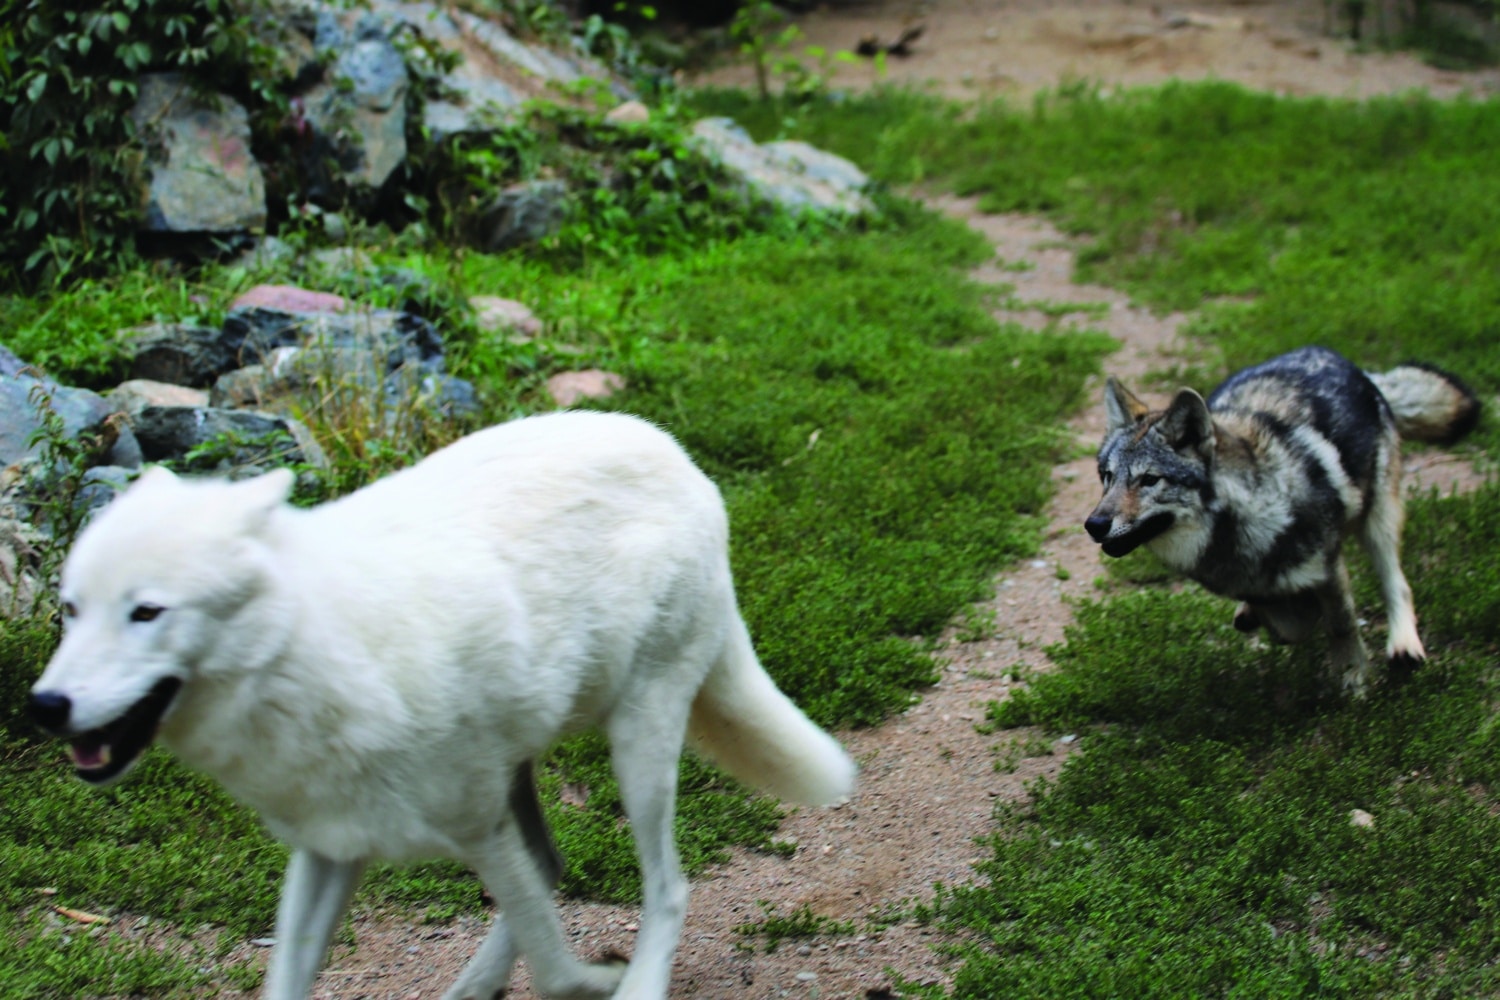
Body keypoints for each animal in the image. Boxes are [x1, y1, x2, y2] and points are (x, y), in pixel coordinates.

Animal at [27, 410, 856, 1000]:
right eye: (71, 610)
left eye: (146, 613)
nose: (46, 704)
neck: (309, 652)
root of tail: (682, 458)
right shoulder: (329, 847)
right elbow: (286, 980)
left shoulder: (476, 824)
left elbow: (555, 973)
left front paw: (597, 979)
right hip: (527, 770)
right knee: (553, 864)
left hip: (638, 748)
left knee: (666, 889)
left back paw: (635, 984)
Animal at [1084, 346, 1479, 695]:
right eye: (1107, 476)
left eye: (1149, 480)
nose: (1094, 525)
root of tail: (1349, 364)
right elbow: (1290, 626)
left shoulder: (1328, 569)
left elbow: (1340, 625)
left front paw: (1353, 681)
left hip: (1378, 521)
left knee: (1396, 582)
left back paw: (1404, 645)